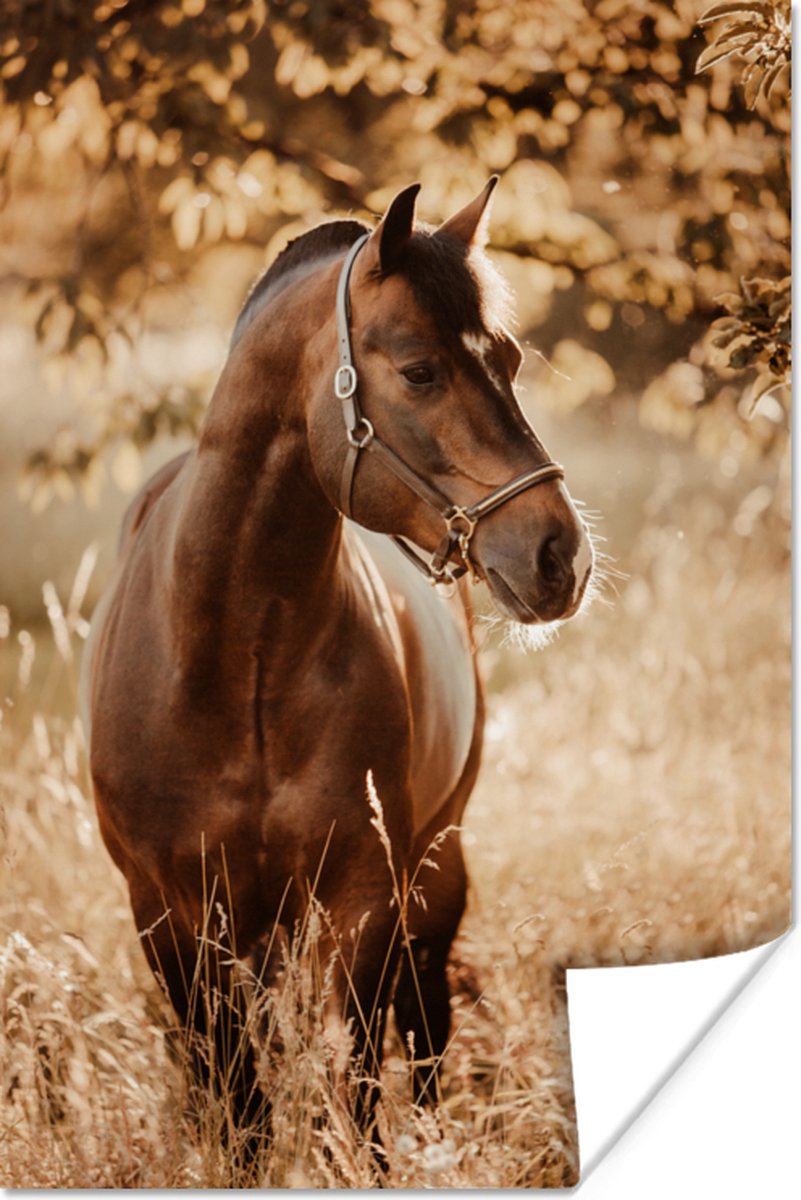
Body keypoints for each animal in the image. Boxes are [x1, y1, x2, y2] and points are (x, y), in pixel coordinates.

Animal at [79, 177, 594, 1159]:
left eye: (509, 359)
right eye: (421, 371)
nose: (562, 556)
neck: (234, 658)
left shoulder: (363, 899)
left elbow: (355, 1090)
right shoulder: (169, 914)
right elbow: (239, 1105)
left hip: (433, 868)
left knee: (423, 1033)